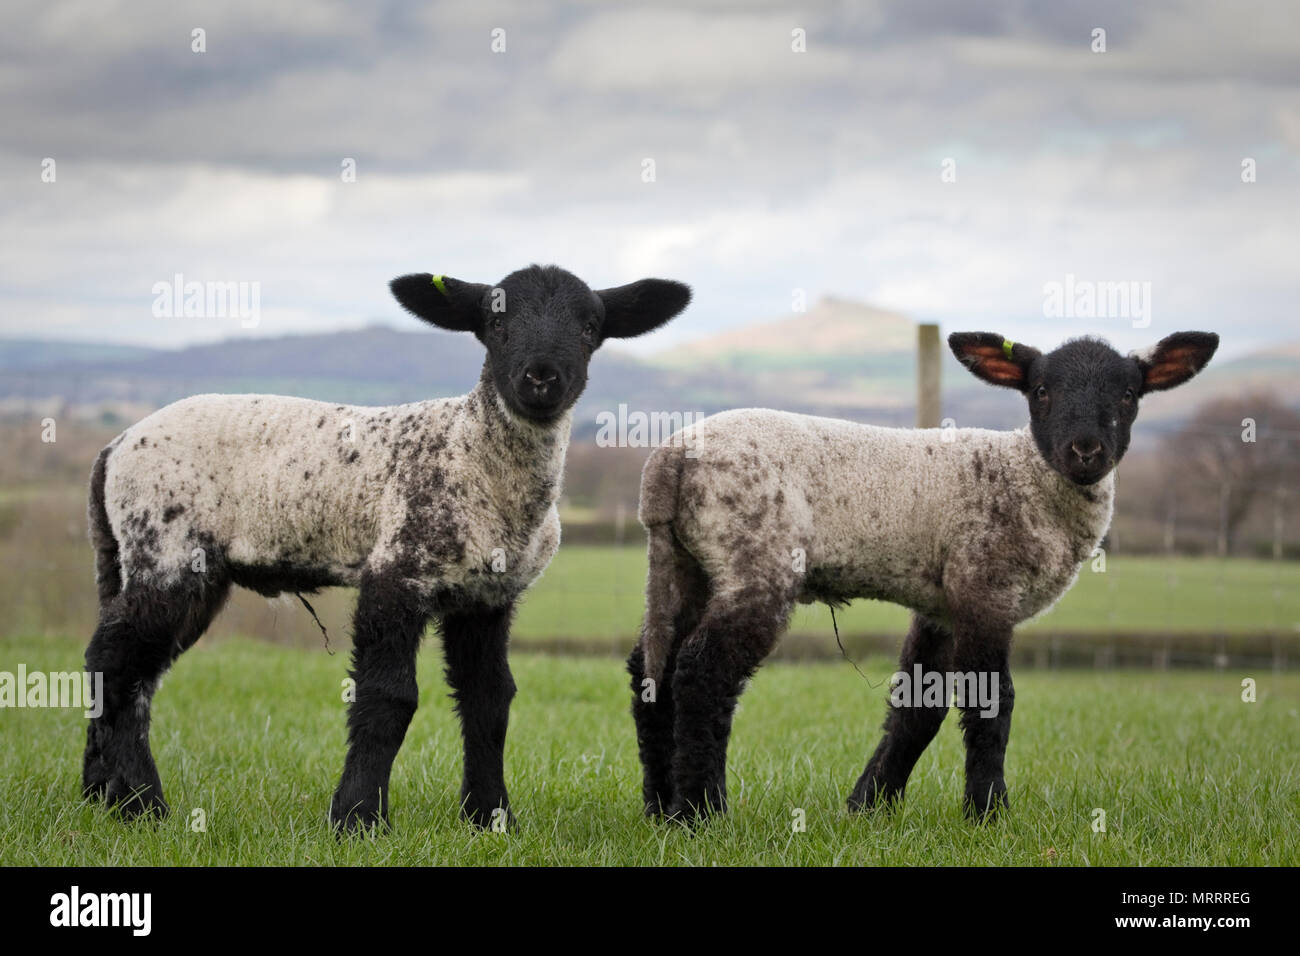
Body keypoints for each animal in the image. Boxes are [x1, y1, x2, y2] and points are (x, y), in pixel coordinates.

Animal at [83, 264, 691, 832]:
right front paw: (357, 817)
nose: (541, 377)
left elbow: (490, 698)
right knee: (114, 665)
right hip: (165, 549)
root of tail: (114, 448)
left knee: (126, 666)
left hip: (152, 561)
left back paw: (100, 795)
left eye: (590, 327)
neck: (474, 456)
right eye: (496, 324)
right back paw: (144, 806)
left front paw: (491, 818)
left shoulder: (487, 595)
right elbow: (389, 697)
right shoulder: (397, 571)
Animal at [627, 330, 1219, 822]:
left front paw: (868, 806)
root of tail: (669, 459)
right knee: (701, 670)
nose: (1086, 451)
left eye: (1129, 394)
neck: (1027, 477)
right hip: (755, 555)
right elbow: (989, 701)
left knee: (650, 669)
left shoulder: (941, 604)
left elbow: (919, 706)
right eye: (1041, 390)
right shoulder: (984, 582)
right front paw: (988, 813)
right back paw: (702, 812)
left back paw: (660, 807)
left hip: (690, 563)